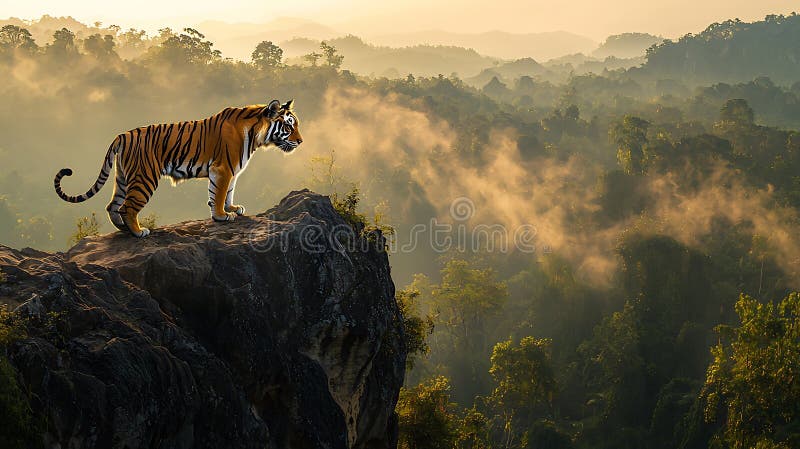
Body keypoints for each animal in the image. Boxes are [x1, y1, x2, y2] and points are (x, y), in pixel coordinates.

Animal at [54, 99, 303, 238]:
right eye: (289, 126)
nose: (301, 141)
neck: (256, 135)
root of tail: (122, 135)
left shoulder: (230, 171)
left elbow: (226, 193)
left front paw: (230, 209)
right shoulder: (223, 169)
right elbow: (219, 193)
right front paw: (222, 216)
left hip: (123, 178)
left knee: (112, 205)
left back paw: (124, 229)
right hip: (145, 178)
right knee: (127, 207)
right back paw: (138, 232)